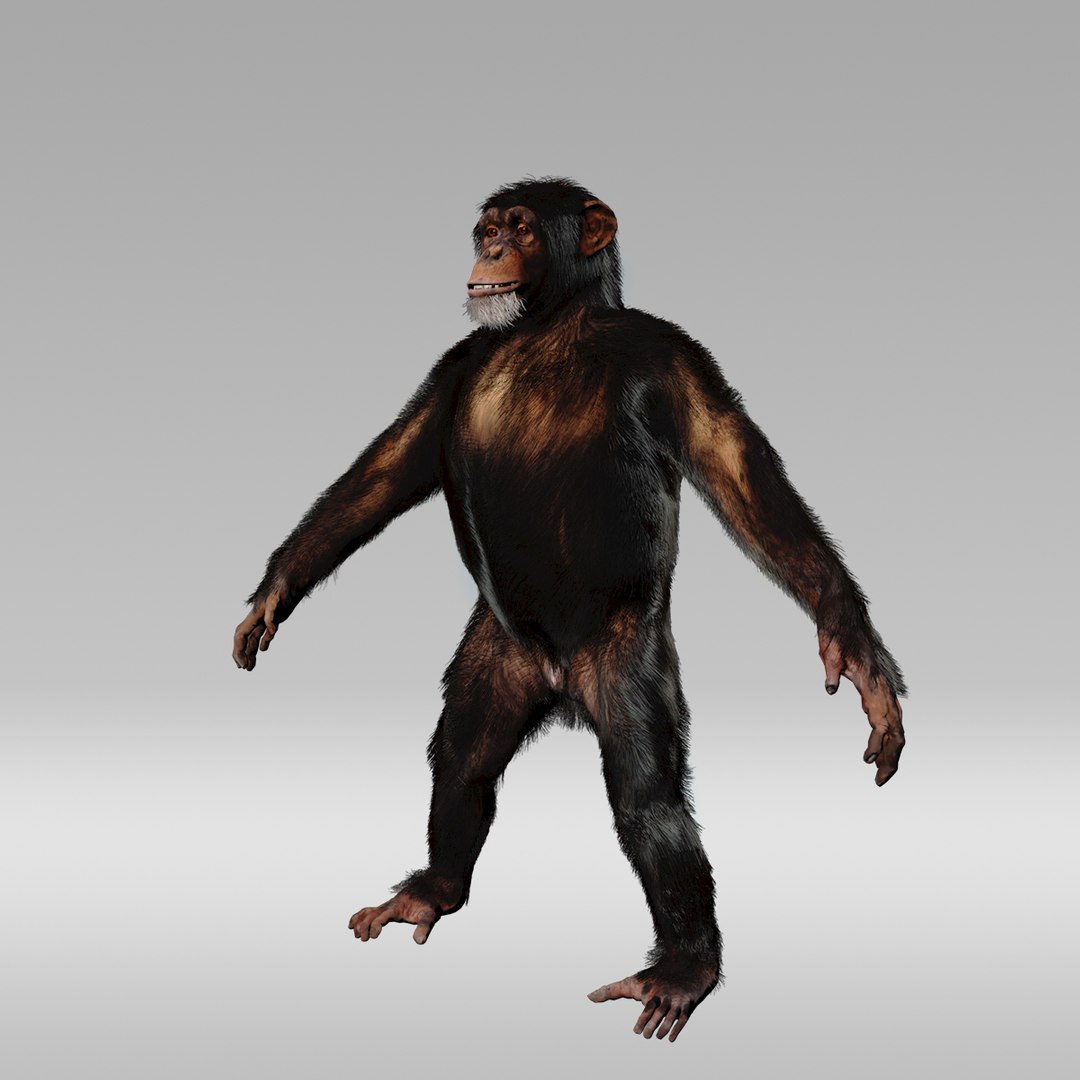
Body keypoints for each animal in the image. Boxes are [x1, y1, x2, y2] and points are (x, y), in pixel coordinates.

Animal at [232, 177, 906, 1042]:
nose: (491, 247)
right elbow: (383, 472)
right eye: (487, 227)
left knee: (649, 802)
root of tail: (559, 686)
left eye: (519, 227)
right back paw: (434, 889)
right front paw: (270, 598)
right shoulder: (450, 370)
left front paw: (856, 654)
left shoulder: (674, 359)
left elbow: (742, 477)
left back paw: (684, 972)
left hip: (624, 662)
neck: (547, 329)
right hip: (498, 655)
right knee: (464, 758)